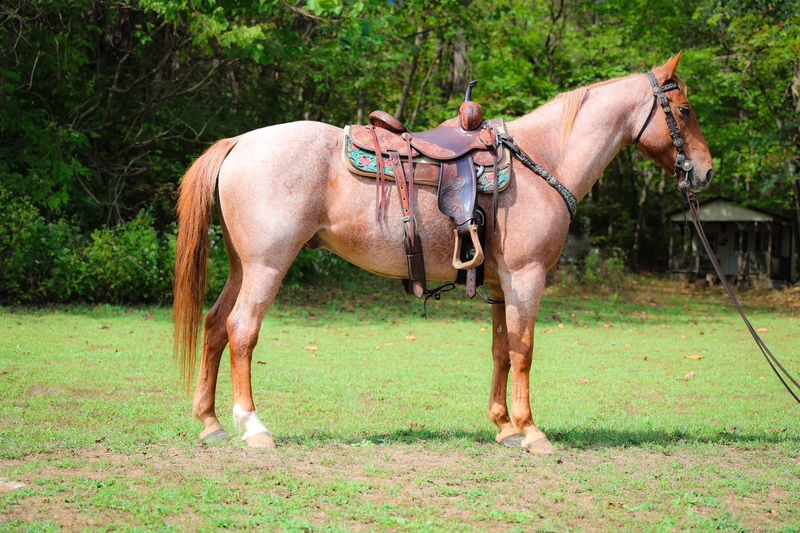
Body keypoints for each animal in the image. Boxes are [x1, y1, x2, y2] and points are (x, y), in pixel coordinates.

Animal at [173, 52, 714, 453]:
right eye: (685, 110)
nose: (706, 172)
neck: (544, 159)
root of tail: (240, 141)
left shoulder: (500, 283)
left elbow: (500, 349)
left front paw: (504, 426)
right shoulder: (527, 277)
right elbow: (524, 350)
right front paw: (531, 432)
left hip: (242, 266)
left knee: (215, 325)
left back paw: (211, 422)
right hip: (267, 265)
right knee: (242, 329)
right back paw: (253, 427)